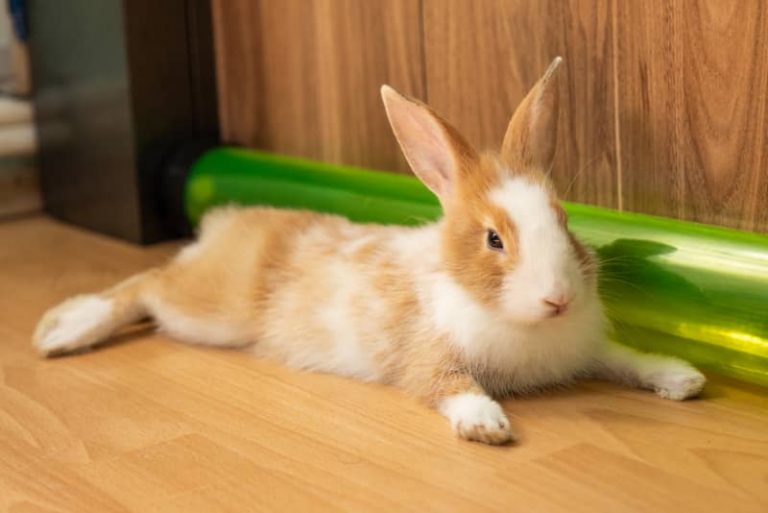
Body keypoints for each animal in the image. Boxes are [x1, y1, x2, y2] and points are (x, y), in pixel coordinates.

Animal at [33, 57, 705, 445]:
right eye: (494, 239)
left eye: (564, 222)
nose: (559, 299)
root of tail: (222, 228)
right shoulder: (430, 359)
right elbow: (446, 385)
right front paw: (486, 425)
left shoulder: (589, 350)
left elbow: (625, 359)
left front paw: (683, 378)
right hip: (207, 313)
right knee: (144, 285)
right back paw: (63, 330)